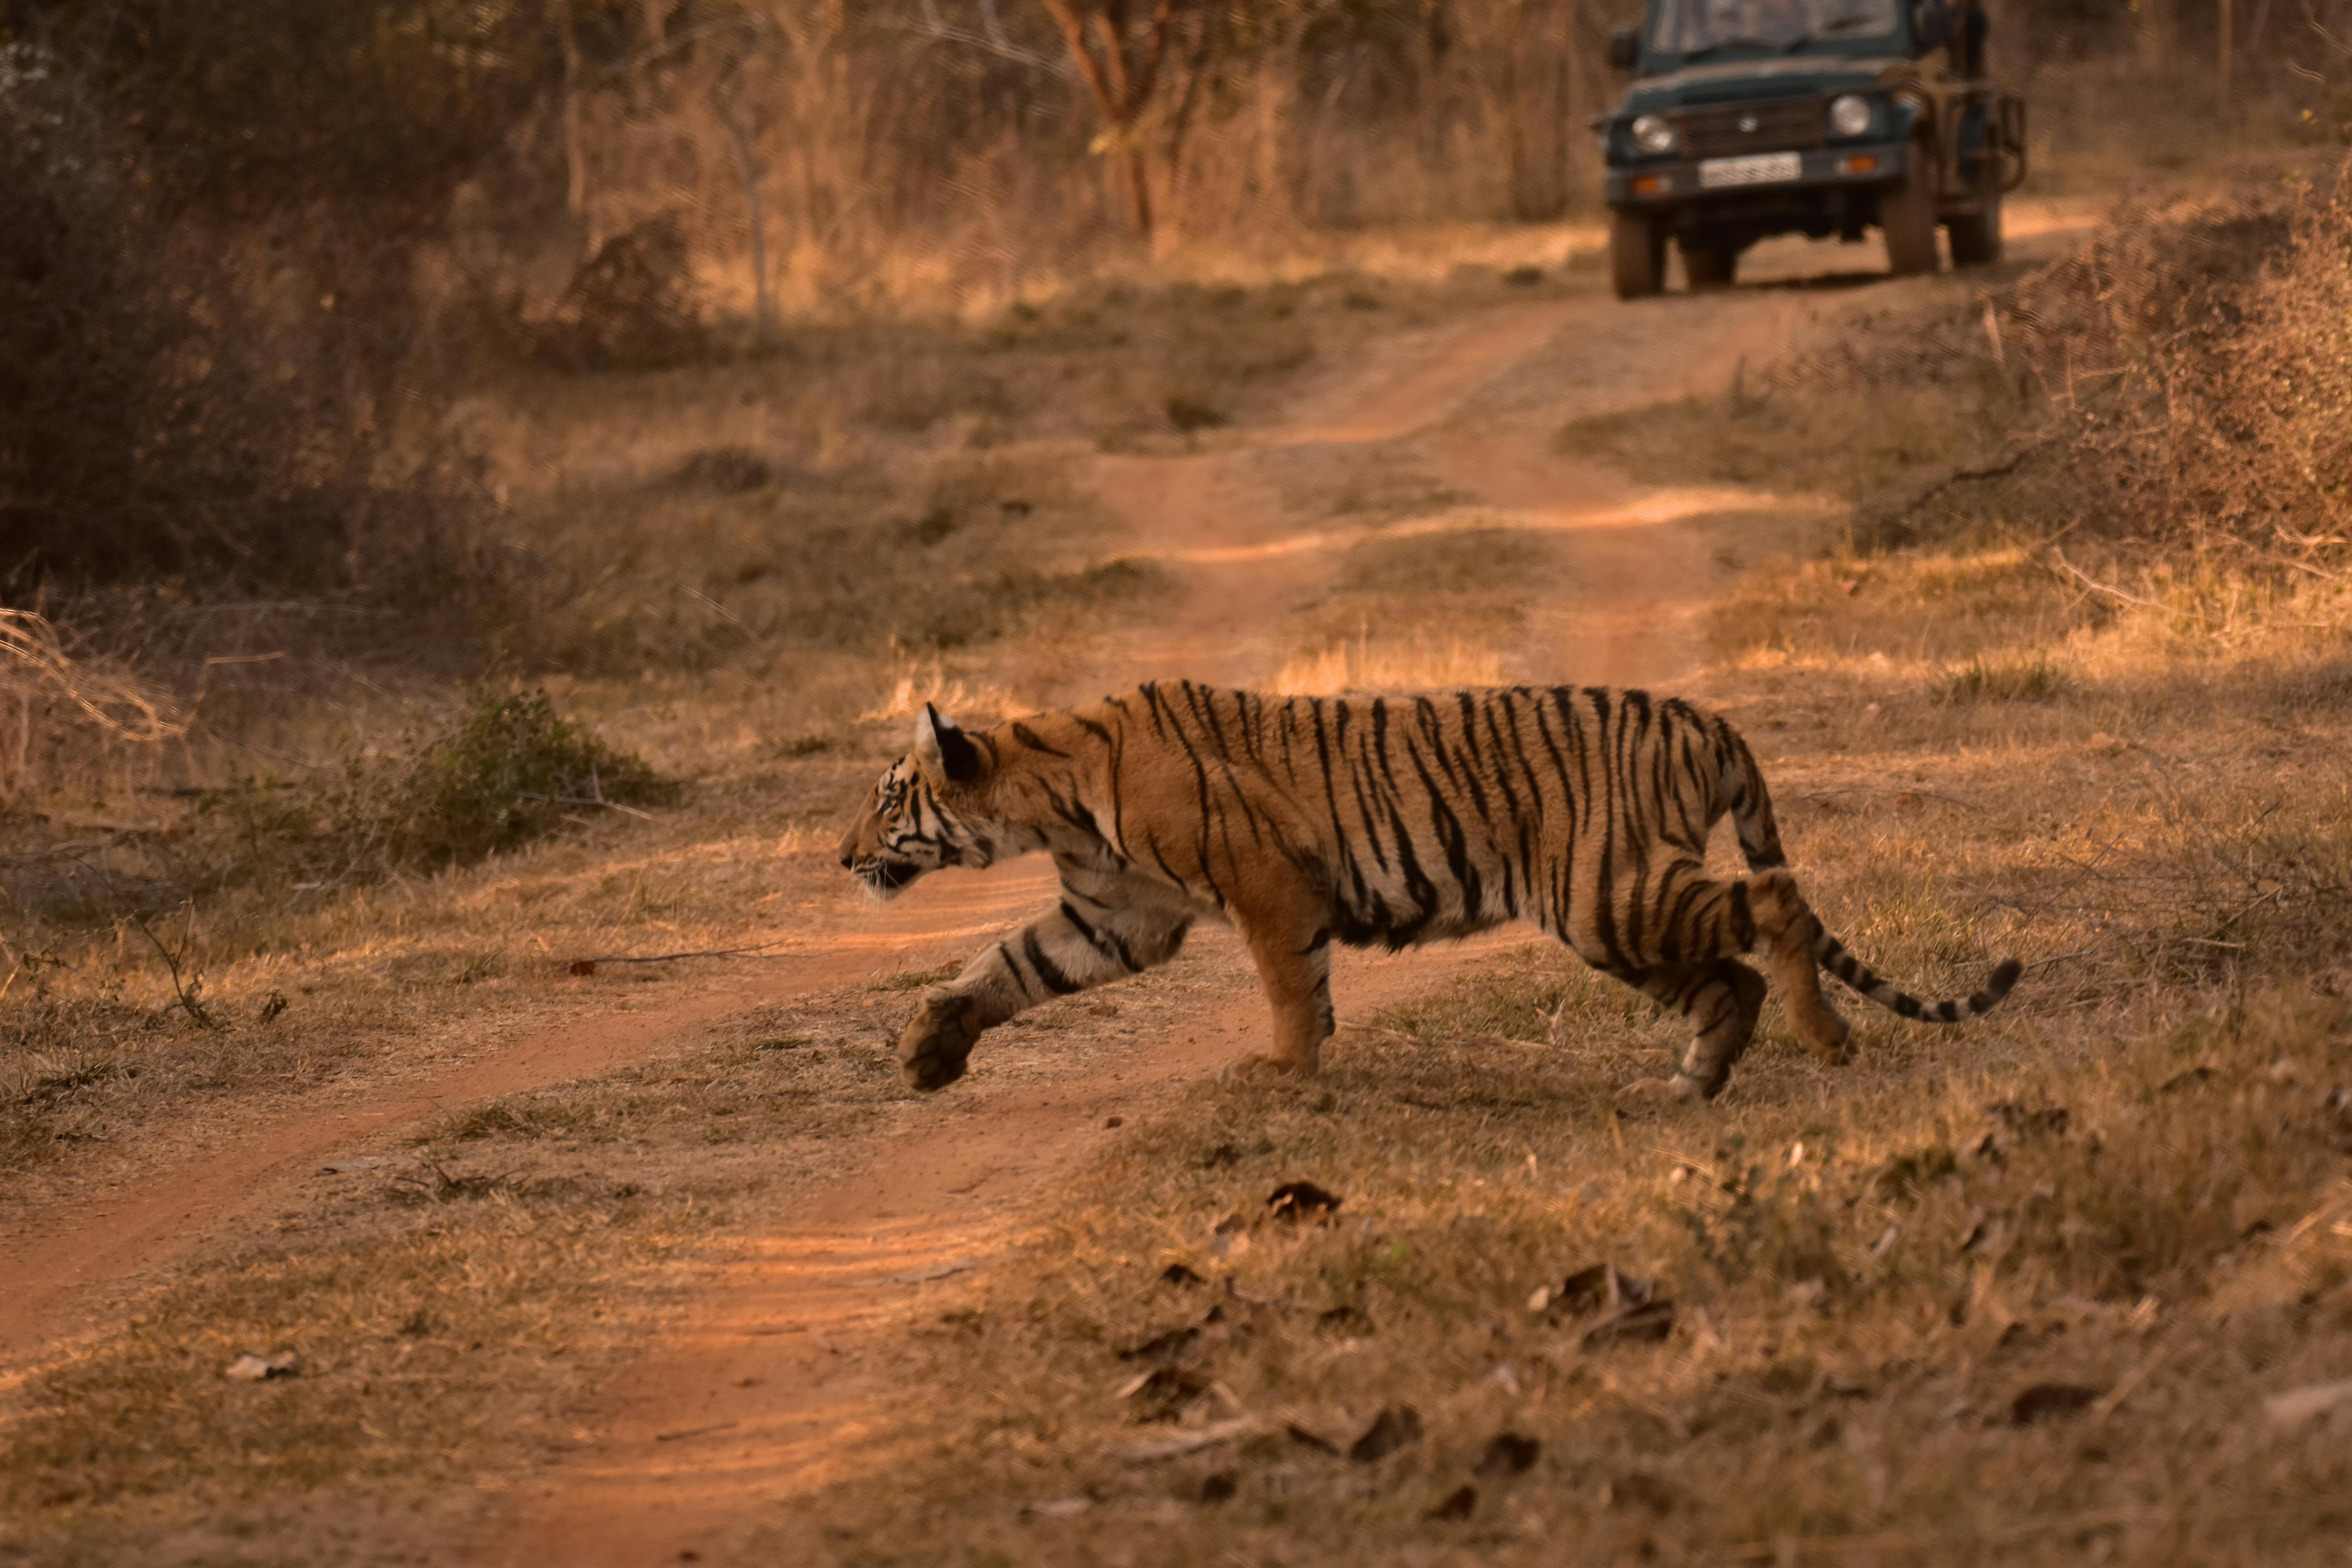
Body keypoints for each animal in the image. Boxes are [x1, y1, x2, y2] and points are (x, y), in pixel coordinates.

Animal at [835, 681, 2020, 1102]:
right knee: (1730, 977)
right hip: (1617, 915)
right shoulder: (1117, 915)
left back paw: (1826, 1039)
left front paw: (1283, 1069)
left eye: (887, 798)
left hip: (1608, 891)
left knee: (1776, 905)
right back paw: (1692, 1081)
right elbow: (1008, 965)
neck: (1049, 795)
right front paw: (929, 1049)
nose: (841, 858)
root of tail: (1705, 717)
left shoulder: (1266, 887)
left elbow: (1288, 985)